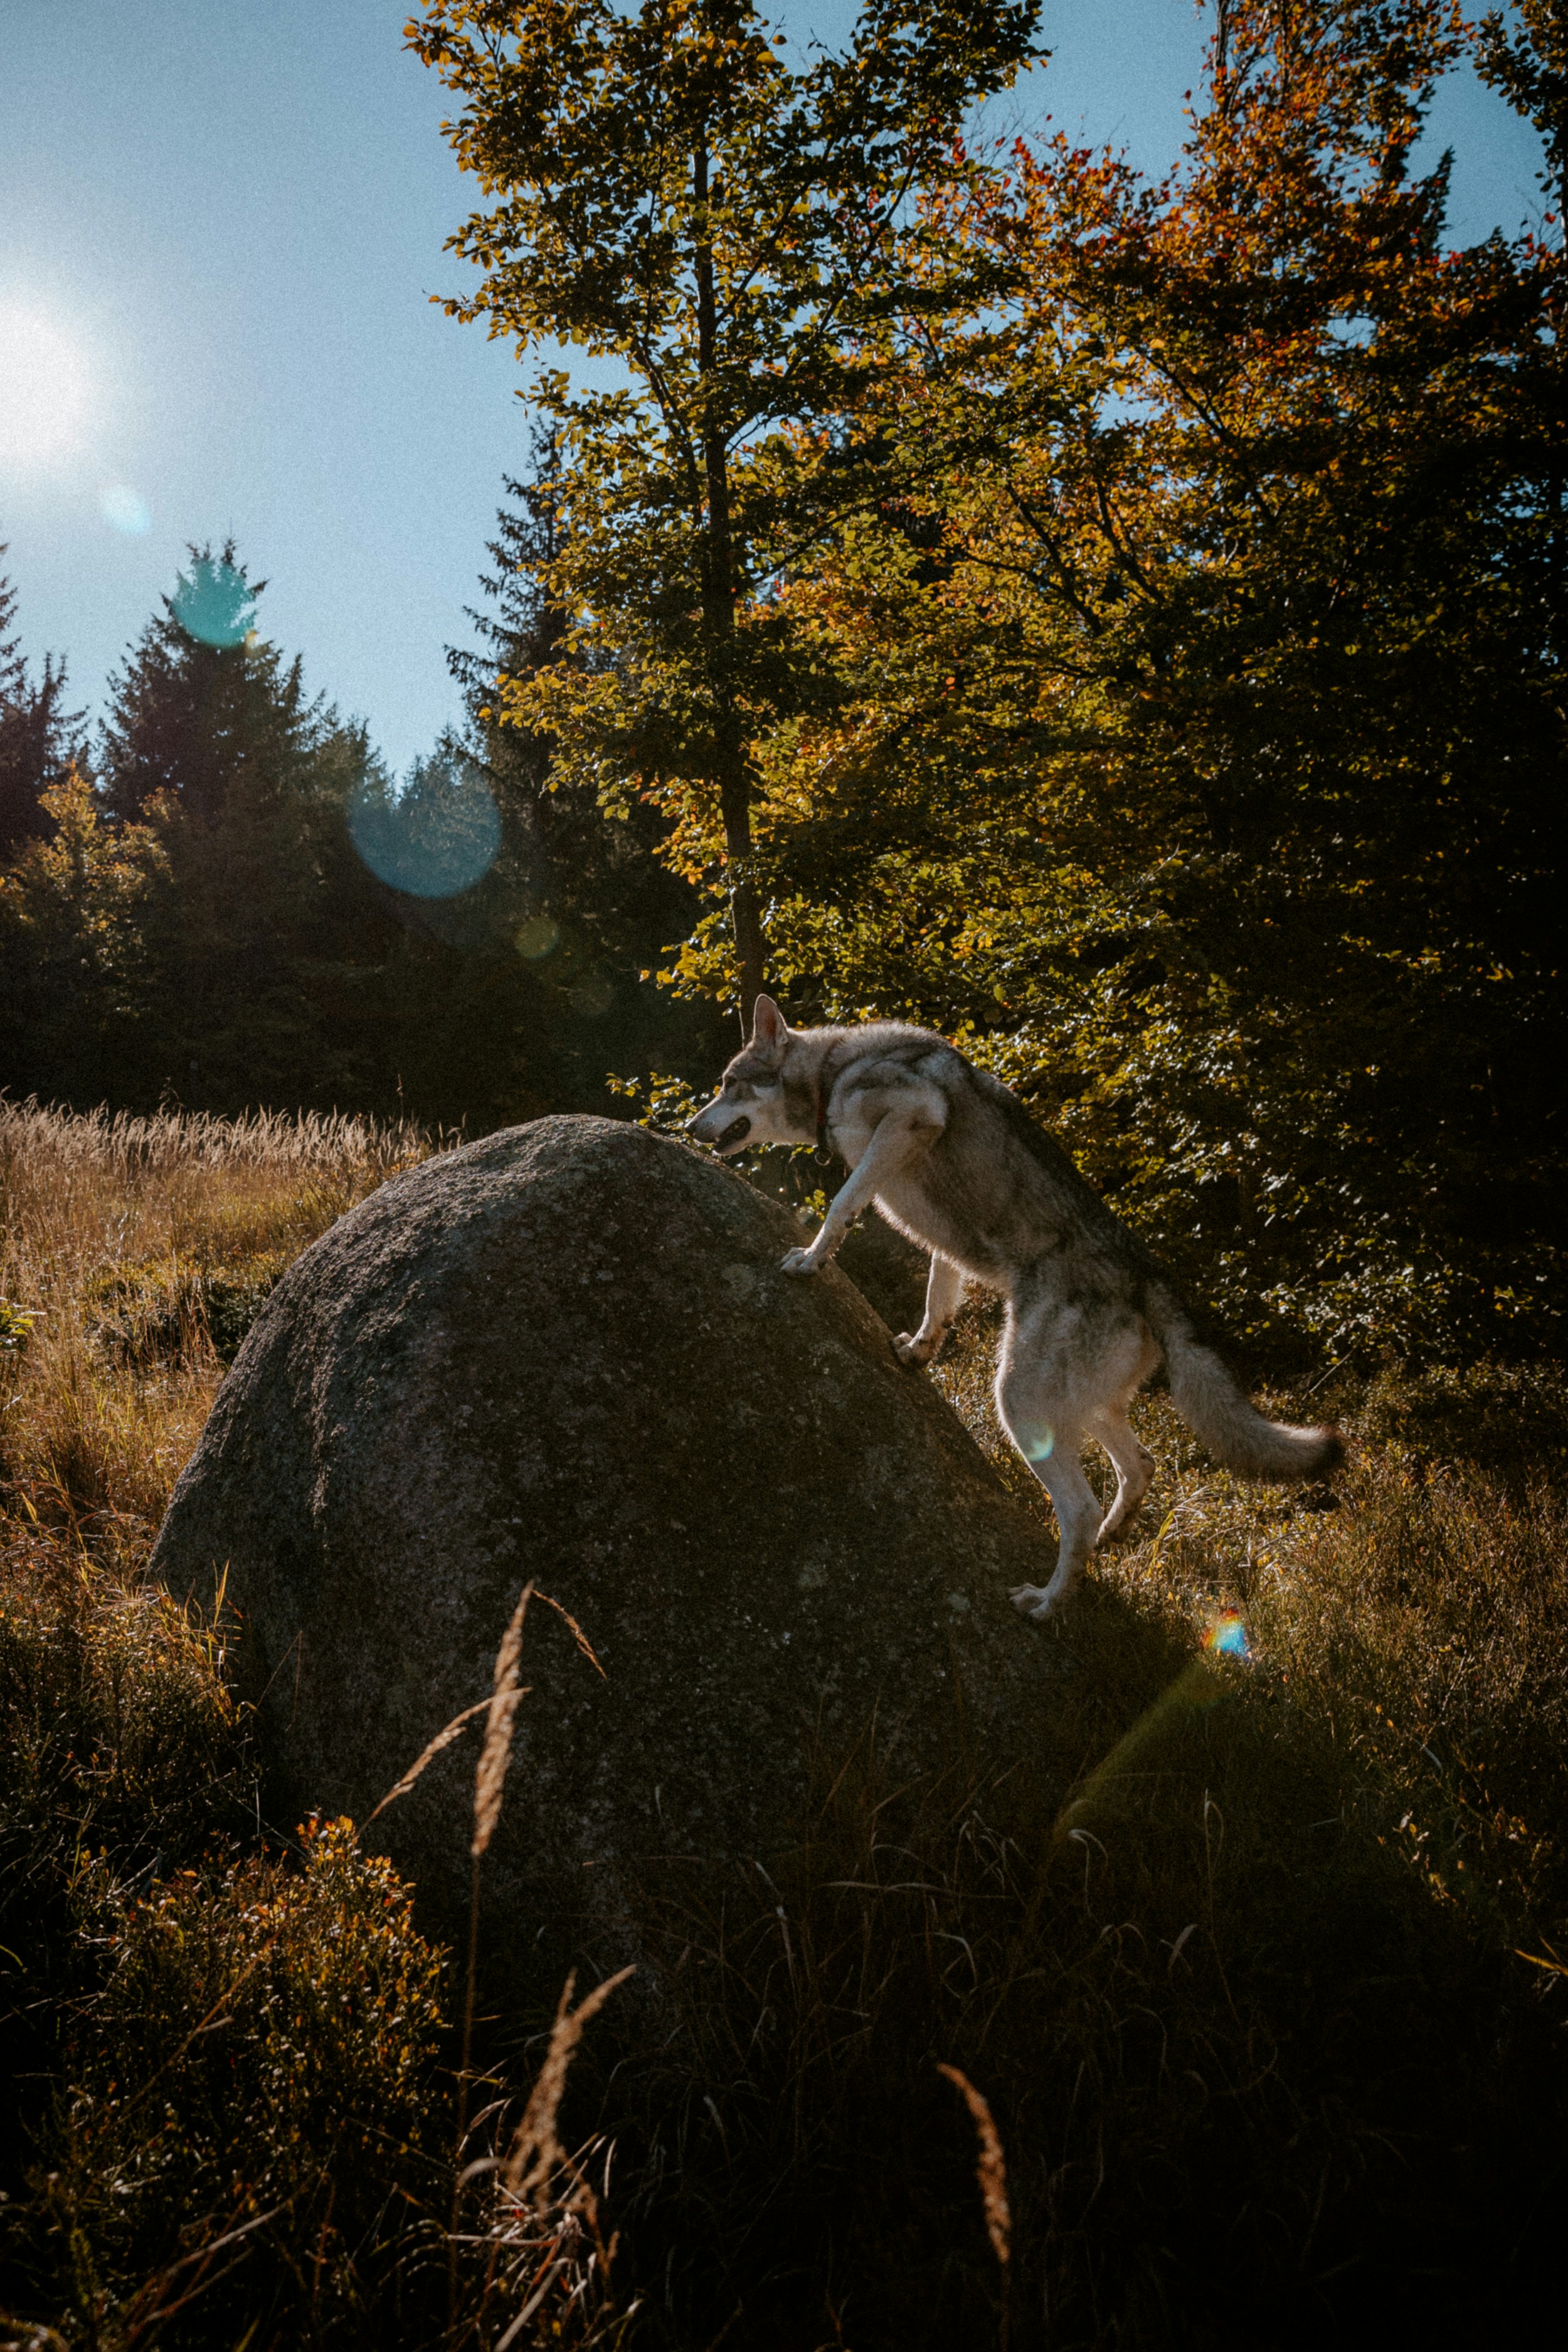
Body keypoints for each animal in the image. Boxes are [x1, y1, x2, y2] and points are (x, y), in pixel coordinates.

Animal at [687, 997, 1342, 1621]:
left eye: (728, 1083)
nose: (691, 1127)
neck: (834, 1071)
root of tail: (1149, 1277)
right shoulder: (943, 1236)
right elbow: (939, 1291)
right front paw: (919, 1350)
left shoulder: (911, 1119)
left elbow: (842, 1205)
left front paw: (811, 1259)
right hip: (1080, 1406)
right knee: (1141, 1466)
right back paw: (1110, 1540)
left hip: (1020, 1402)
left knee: (1081, 1509)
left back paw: (1047, 1604)